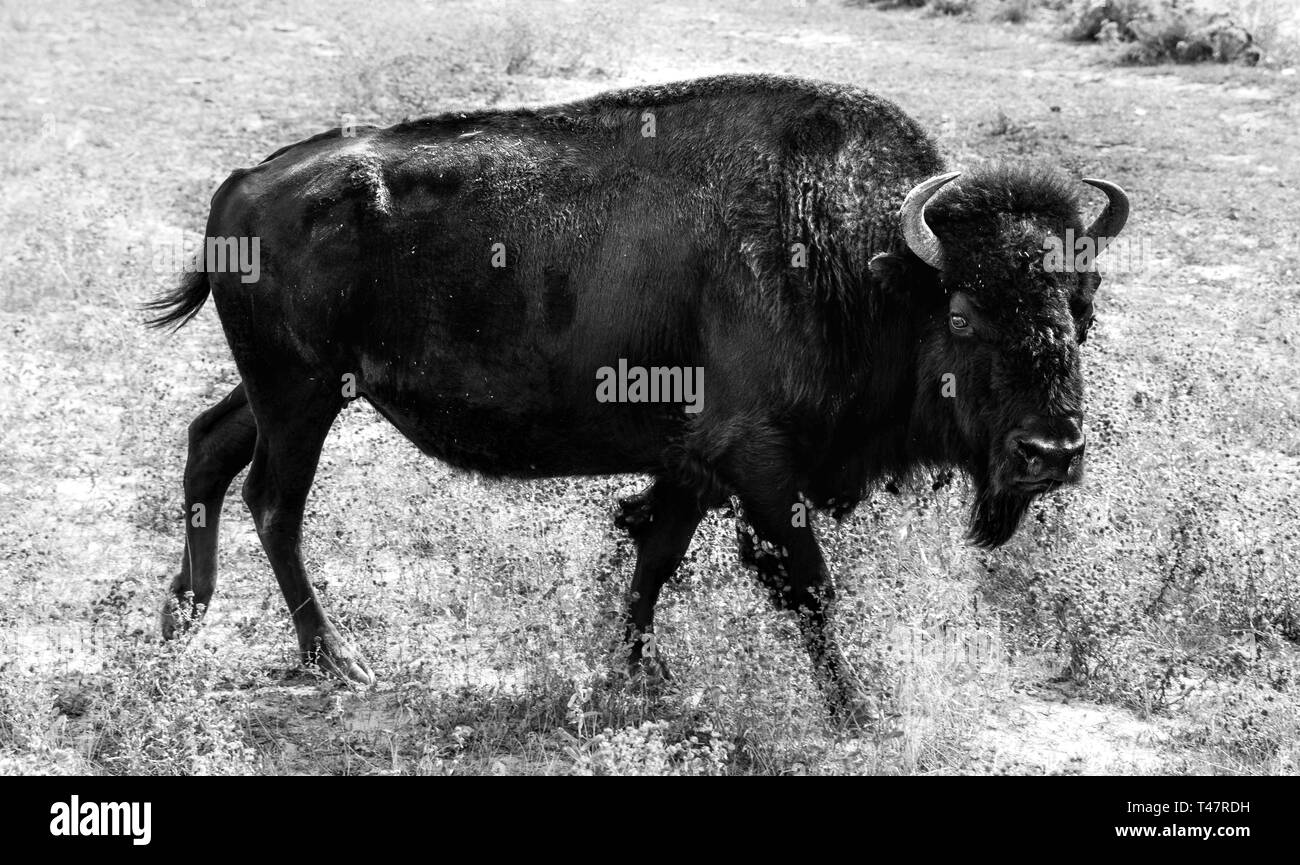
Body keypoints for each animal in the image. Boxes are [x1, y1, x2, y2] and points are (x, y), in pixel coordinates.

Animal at [147, 74, 1128, 723]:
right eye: (962, 311)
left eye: (1081, 308)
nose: (1051, 455)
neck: (866, 261)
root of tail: (244, 184)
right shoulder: (759, 466)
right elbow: (811, 585)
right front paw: (858, 709)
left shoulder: (694, 465)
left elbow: (653, 560)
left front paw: (634, 673)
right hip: (303, 397)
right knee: (273, 500)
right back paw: (337, 661)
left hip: (285, 392)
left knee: (209, 446)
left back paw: (179, 615)